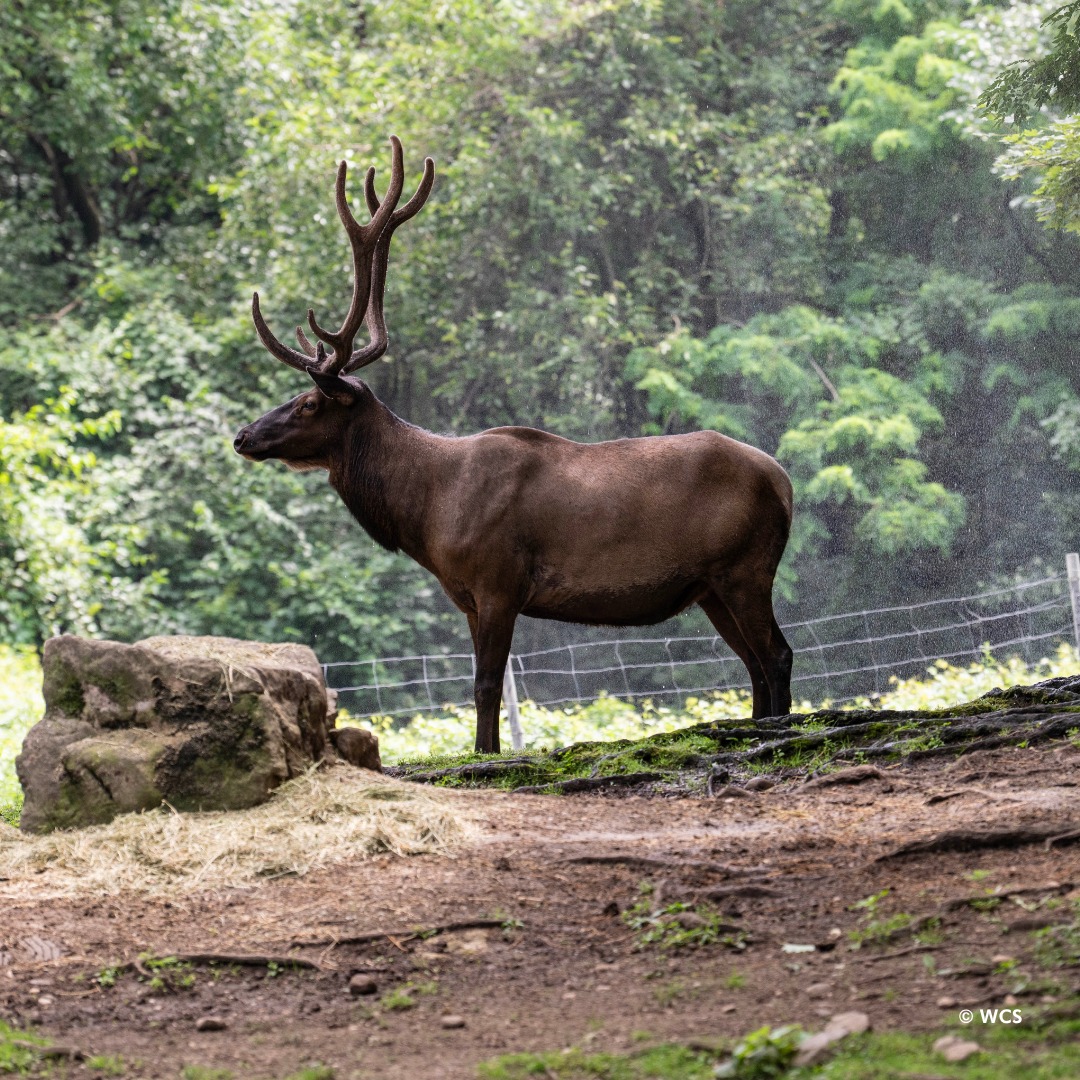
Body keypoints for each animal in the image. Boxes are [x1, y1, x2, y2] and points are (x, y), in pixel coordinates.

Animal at [234, 136, 795, 754]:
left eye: (309, 403)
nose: (243, 436)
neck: (429, 510)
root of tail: (785, 482)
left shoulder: (499, 578)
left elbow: (483, 685)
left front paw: (485, 755)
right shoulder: (469, 596)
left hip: (746, 566)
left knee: (777, 655)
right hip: (712, 586)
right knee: (754, 662)